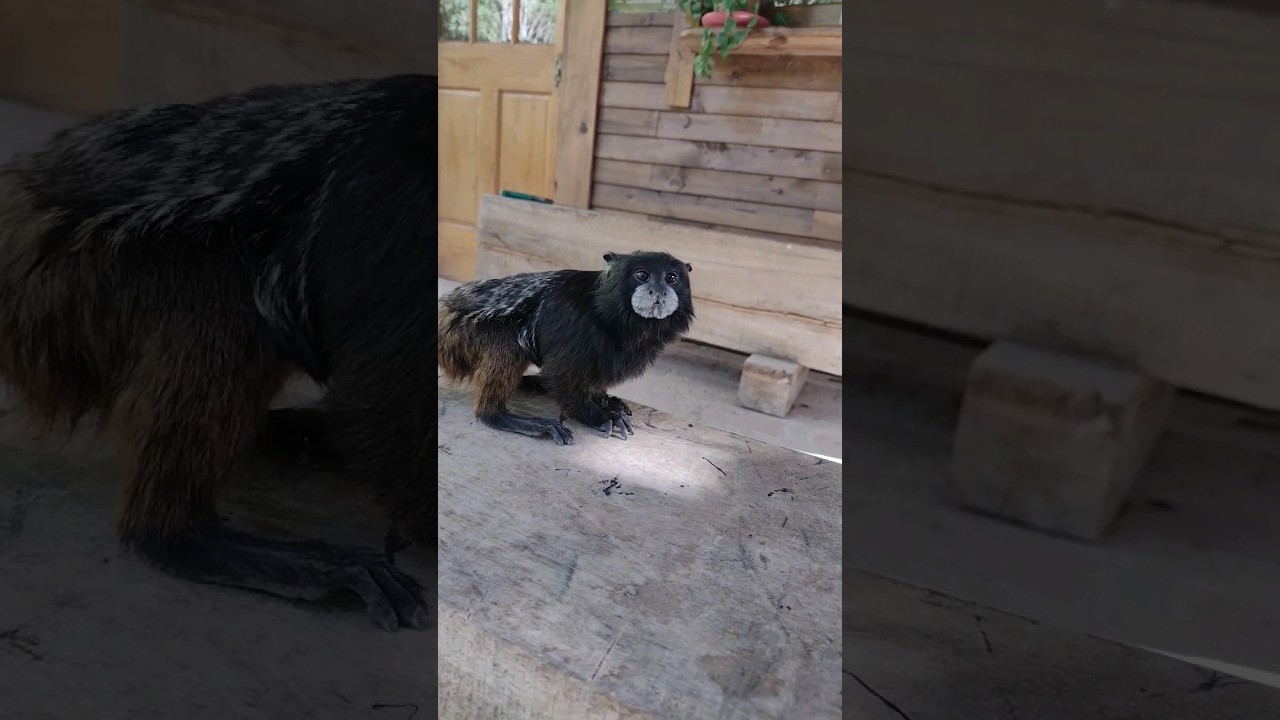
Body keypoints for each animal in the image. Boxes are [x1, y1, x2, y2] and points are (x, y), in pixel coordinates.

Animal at [438, 251, 694, 445]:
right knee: (507, 340)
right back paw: (496, 415)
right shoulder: (574, 325)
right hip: (460, 336)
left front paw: (603, 399)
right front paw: (600, 416)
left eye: (671, 278)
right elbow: (560, 378)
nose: (658, 290)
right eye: (642, 275)